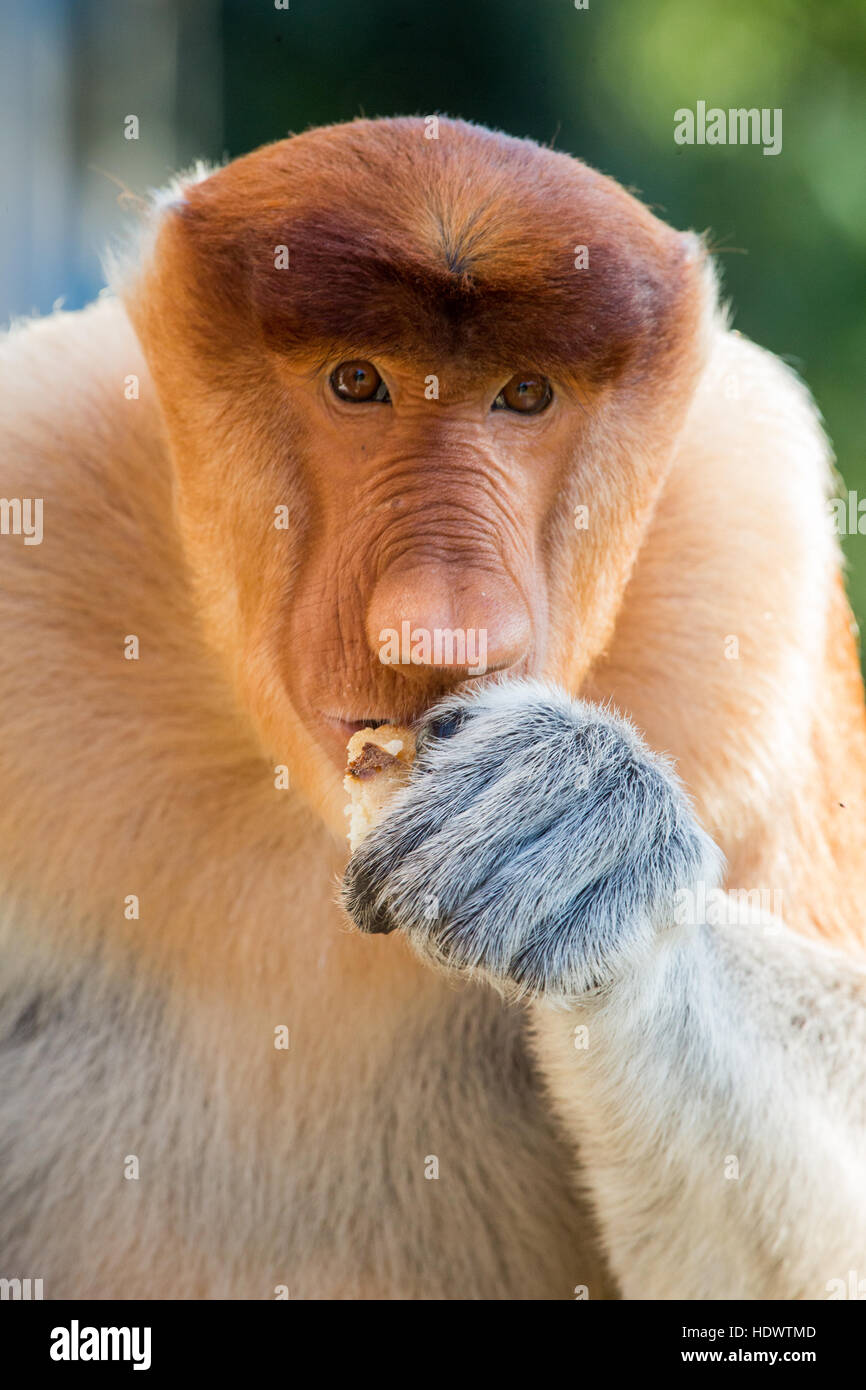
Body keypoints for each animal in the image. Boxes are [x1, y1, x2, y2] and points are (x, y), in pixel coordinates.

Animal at [0, 115, 864, 1300]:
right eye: (358, 380)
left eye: (526, 395)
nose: (444, 629)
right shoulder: (32, 467)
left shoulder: (752, 544)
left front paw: (580, 828)